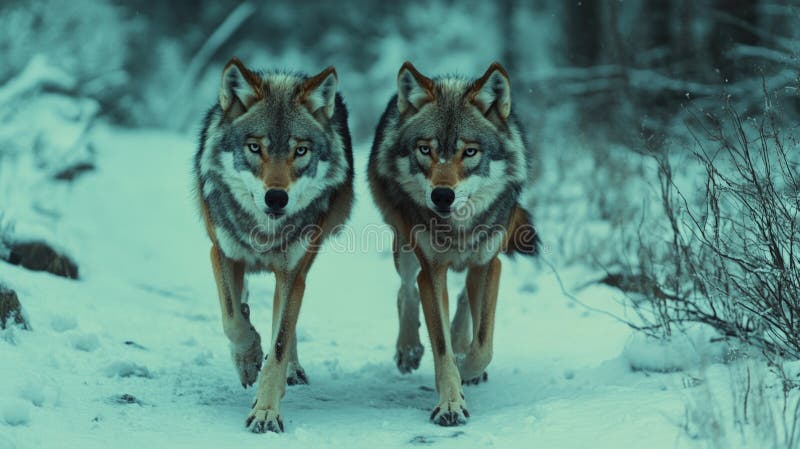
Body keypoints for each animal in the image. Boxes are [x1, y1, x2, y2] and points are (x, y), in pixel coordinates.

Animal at [193, 57, 353, 433]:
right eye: (255, 147)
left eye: (300, 150)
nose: (277, 198)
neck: (264, 233)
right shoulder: (222, 252)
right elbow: (232, 318)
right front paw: (248, 357)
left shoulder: (293, 272)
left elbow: (279, 342)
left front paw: (265, 410)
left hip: (302, 266)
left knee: (286, 324)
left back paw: (288, 372)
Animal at [367, 61, 538, 426]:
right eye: (425, 149)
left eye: (469, 151)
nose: (442, 196)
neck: (459, 229)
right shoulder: (432, 269)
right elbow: (441, 345)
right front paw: (450, 403)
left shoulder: (488, 263)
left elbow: (483, 345)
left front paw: (466, 369)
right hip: (404, 246)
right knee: (406, 289)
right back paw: (409, 350)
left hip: (483, 263)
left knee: (462, 301)